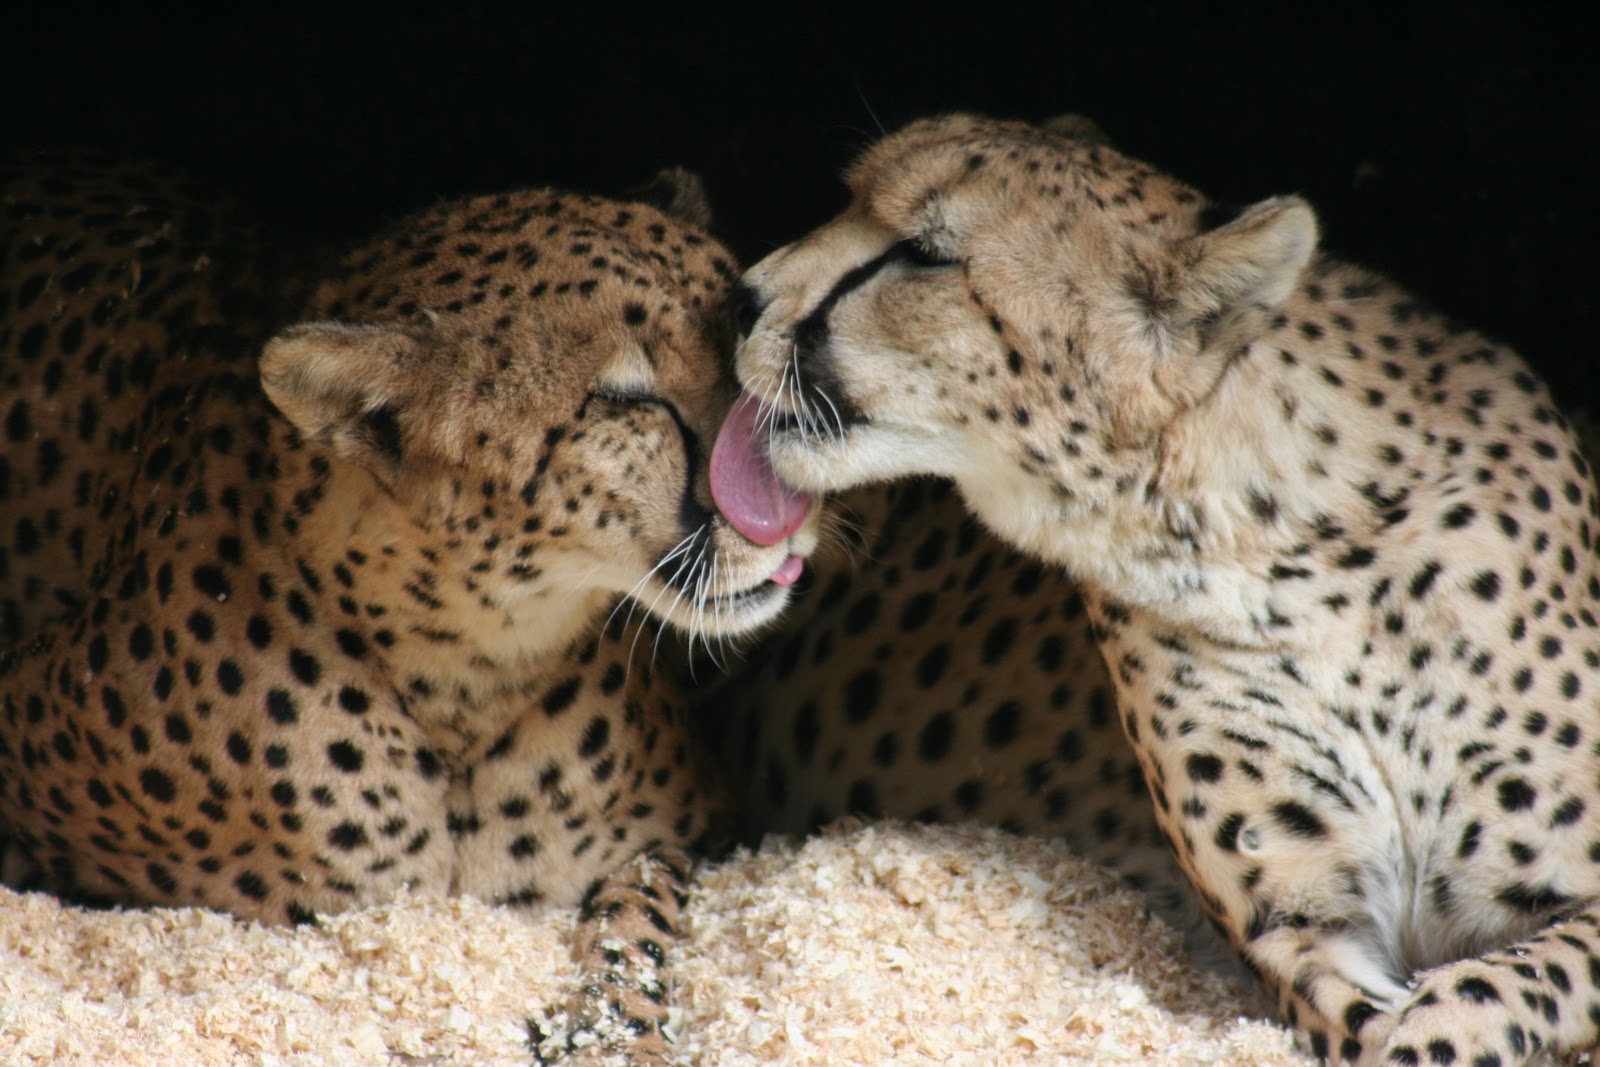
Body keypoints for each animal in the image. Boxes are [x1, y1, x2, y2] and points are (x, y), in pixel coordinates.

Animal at [0, 151, 819, 1064]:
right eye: (626, 399)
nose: (795, 505)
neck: (464, 674)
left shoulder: (680, 832)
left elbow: (635, 914)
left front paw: (616, 1026)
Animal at [714, 112, 1600, 1065]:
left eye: (922, 254)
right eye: (845, 198)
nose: (736, 299)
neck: (1268, 546)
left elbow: (1481, 996)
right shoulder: (1298, 927)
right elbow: (1402, 1027)